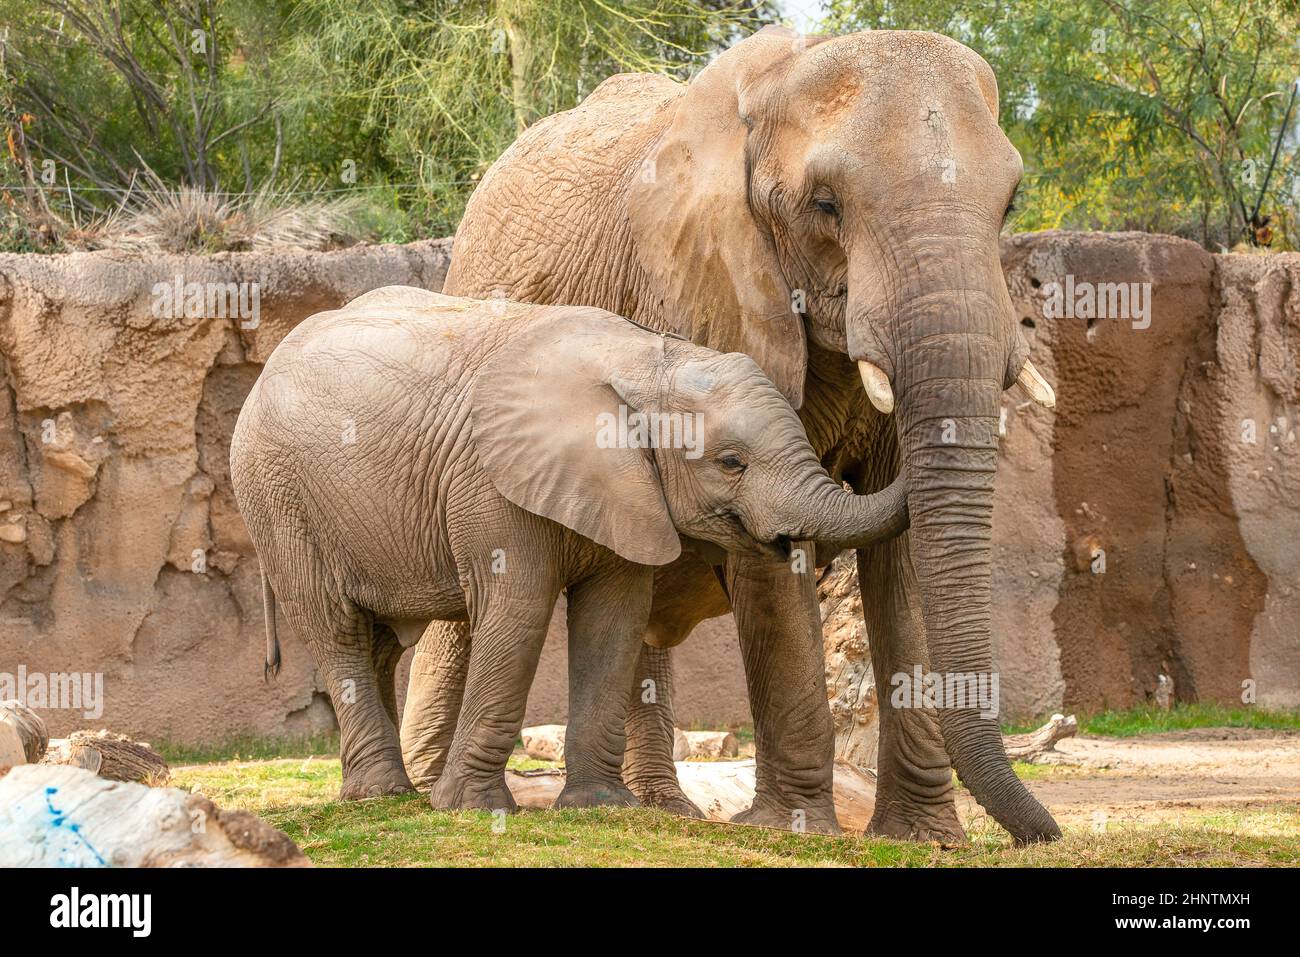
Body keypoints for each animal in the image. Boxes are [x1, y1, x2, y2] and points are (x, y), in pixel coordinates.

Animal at [230, 286, 910, 806]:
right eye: (730, 462)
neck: (646, 361)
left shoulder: (631, 493)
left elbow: (615, 619)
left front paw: (600, 806)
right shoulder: (489, 478)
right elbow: (518, 611)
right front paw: (471, 808)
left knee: (377, 644)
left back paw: (369, 791)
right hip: (276, 494)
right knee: (336, 626)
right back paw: (384, 795)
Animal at [404, 27, 1062, 842]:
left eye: (1009, 203)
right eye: (825, 204)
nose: (1045, 836)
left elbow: (902, 562)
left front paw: (924, 837)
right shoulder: (707, 291)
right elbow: (769, 543)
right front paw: (792, 828)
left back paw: (657, 808)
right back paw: (421, 792)